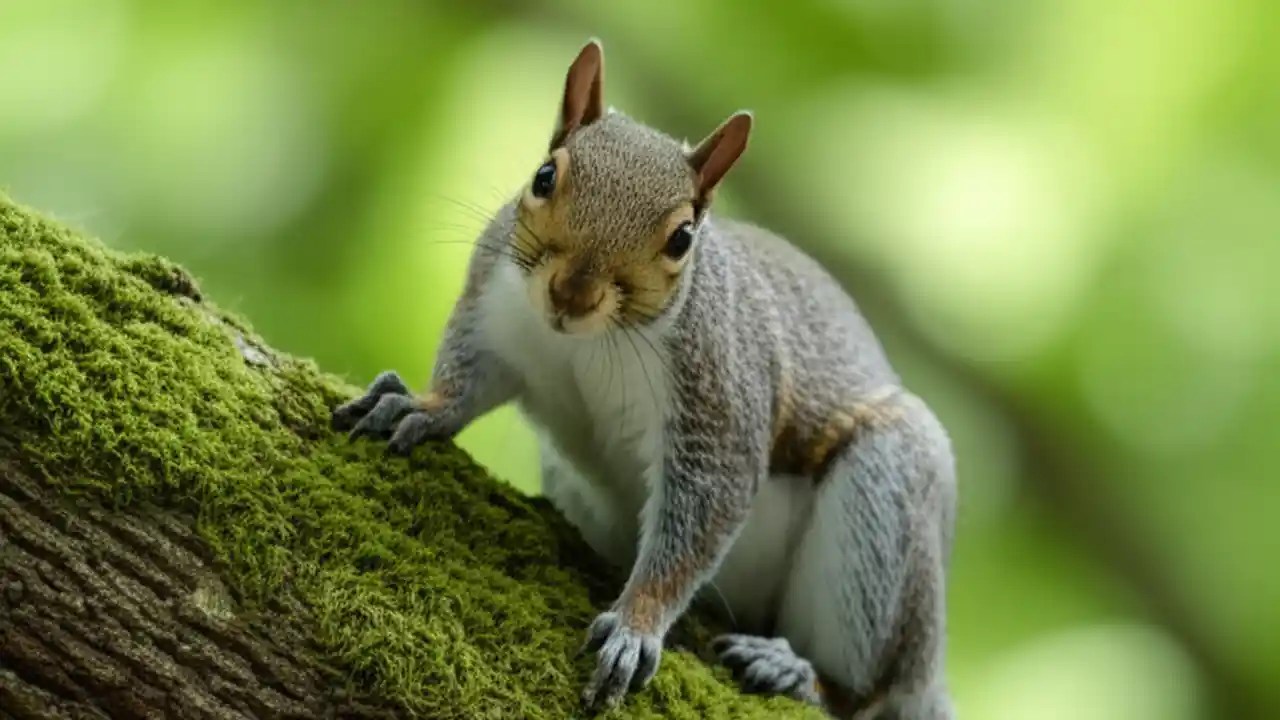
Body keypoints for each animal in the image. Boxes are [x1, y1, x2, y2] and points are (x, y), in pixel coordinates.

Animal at [331, 39, 957, 719]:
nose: (571, 294)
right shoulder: (493, 308)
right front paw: (418, 405)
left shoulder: (719, 396)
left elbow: (699, 517)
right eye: (544, 177)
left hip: (887, 514)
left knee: (872, 687)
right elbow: (466, 379)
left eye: (682, 238)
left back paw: (797, 672)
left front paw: (635, 626)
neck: (586, 342)